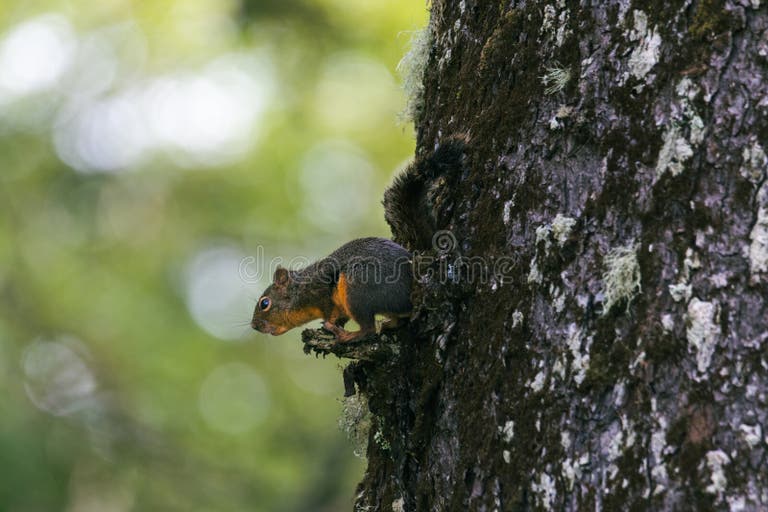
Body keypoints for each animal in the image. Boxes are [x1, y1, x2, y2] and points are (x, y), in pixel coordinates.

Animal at [251, 237, 413, 342]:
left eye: (264, 304)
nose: (253, 326)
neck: (299, 290)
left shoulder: (320, 292)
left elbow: (330, 312)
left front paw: (329, 323)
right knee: (396, 321)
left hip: (356, 291)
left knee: (369, 329)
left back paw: (347, 336)